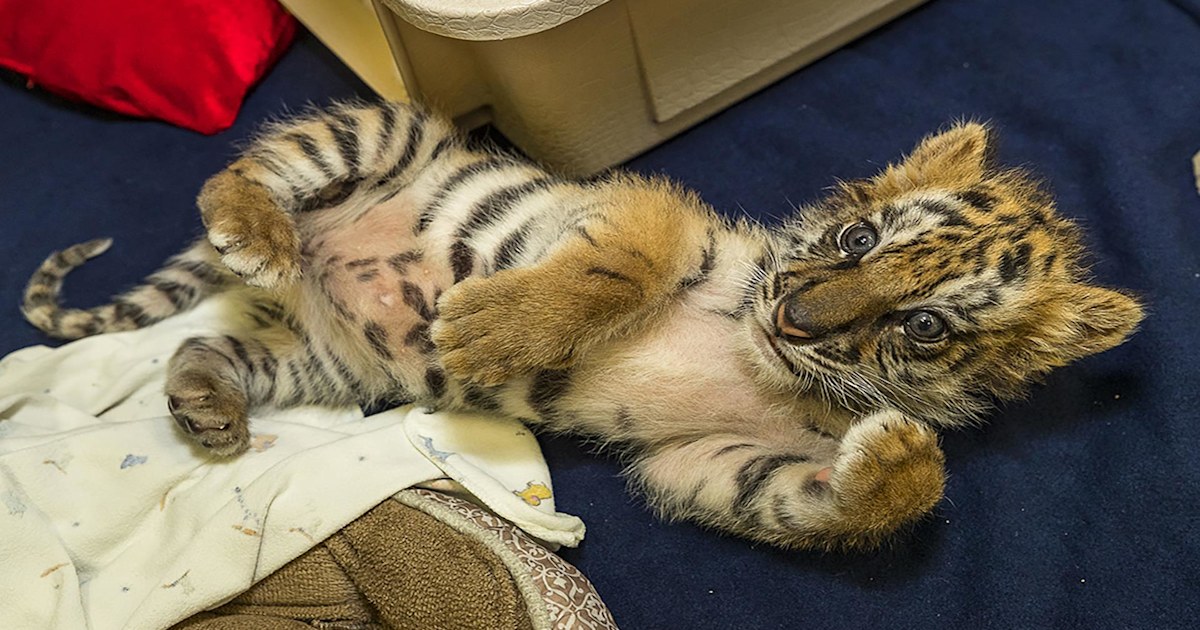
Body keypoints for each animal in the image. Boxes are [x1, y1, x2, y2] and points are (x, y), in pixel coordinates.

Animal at [20, 102, 1144, 551]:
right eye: (857, 236)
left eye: (923, 329)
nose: (795, 315)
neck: (765, 362)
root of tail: (304, 277)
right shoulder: (654, 218)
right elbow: (612, 271)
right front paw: (486, 332)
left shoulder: (704, 459)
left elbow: (826, 496)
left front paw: (902, 455)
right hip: (373, 135)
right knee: (235, 172)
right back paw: (253, 233)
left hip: (327, 369)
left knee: (202, 343)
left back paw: (208, 408)